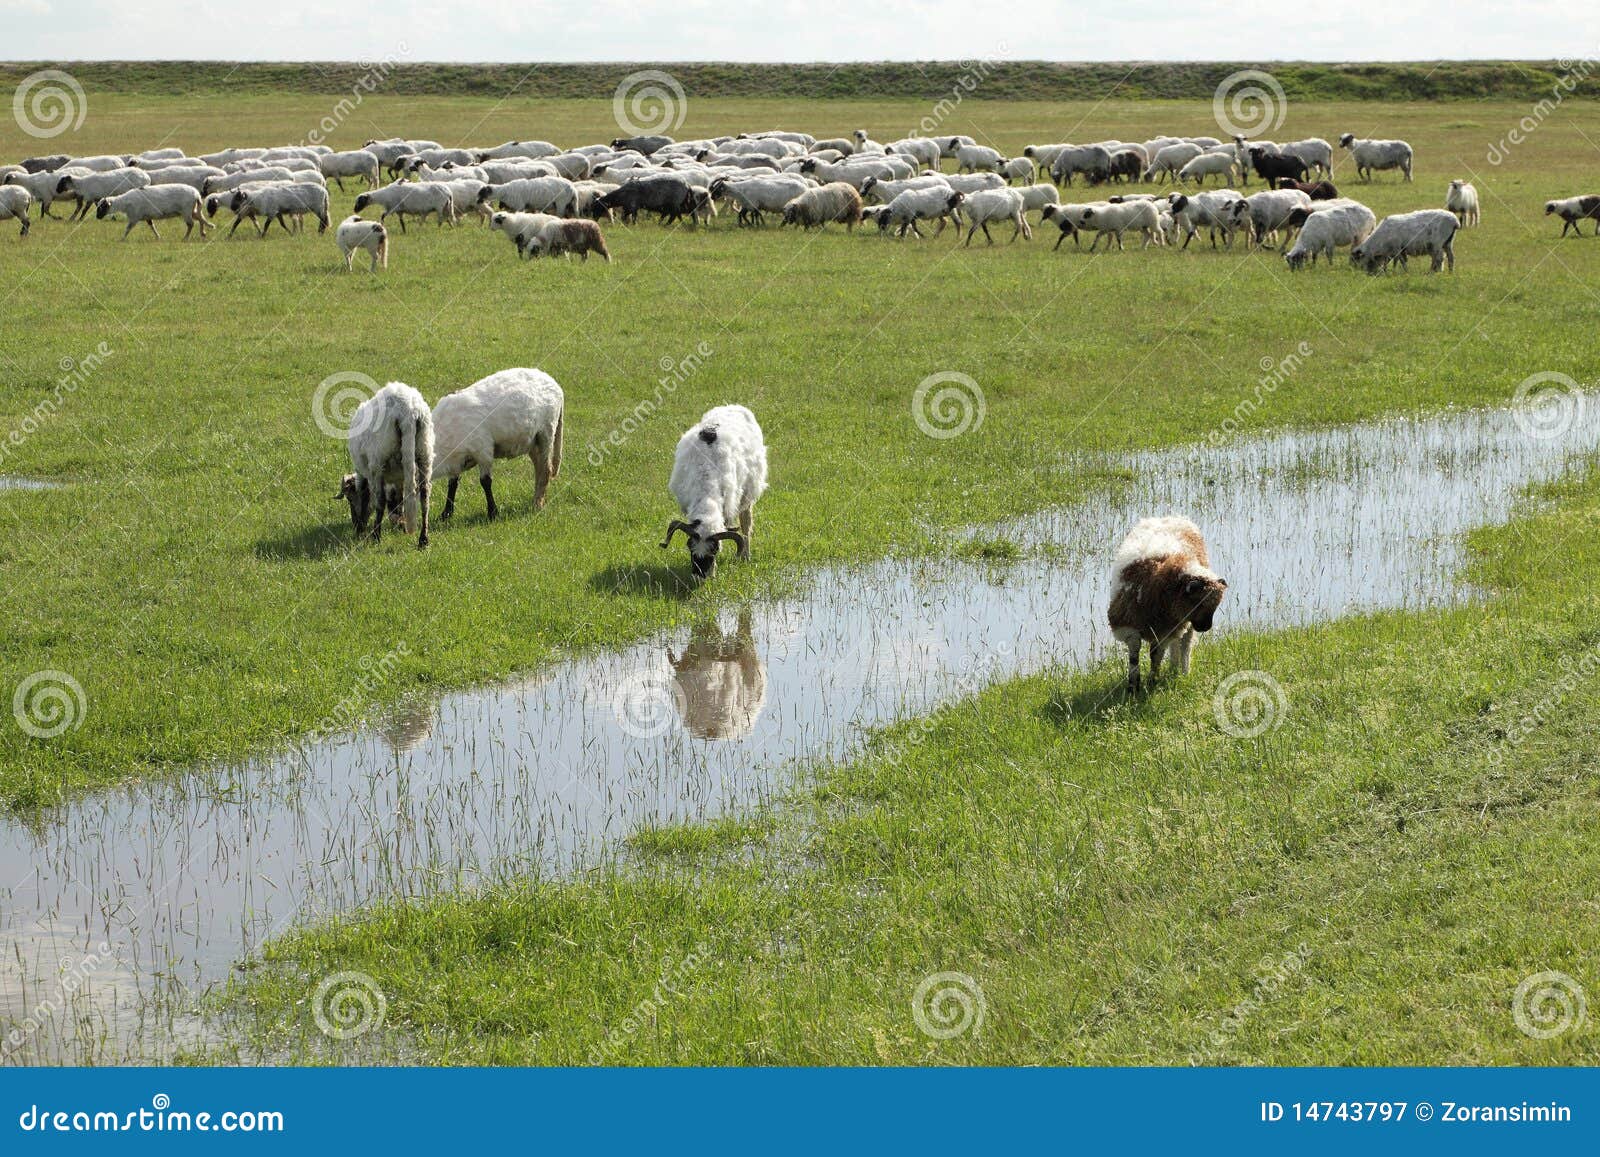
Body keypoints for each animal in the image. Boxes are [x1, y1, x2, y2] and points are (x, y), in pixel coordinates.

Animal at [338, 382, 433, 549]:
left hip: (378, 461)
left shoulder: (369, 472)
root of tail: (408, 411)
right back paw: (423, 540)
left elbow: (368, 496)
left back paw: (376, 535)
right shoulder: (399, 477)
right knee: (425, 495)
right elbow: (400, 498)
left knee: (380, 499)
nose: (356, 526)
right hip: (424, 452)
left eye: (349, 499)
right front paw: (401, 525)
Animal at [429, 367, 564, 522]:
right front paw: (446, 514)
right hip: (532, 440)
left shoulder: (483, 450)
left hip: (547, 430)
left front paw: (493, 513)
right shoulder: (456, 460)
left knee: (546, 469)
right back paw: (536, 499)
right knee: (539, 467)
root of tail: (555, 384)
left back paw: (537, 504)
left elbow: (485, 481)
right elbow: (453, 484)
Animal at [661, 404, 768, 580]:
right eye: (689, 546)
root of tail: (734, 406)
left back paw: (746, 556)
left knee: (746, 524)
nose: (699, 576)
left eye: (715, 550)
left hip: (747, 494)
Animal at [1107, 516, 1227, 694]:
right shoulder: (1129, 627)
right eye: (1198, 603)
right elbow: (1134, 657)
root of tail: (1174, 516)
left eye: (1214, 606)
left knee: (1184, 646)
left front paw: (1152, 682)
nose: (1206, 628)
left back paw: (1182, 671)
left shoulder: (1165, 630)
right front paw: (1133, 687)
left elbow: (1156, 655)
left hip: (1184, 625)